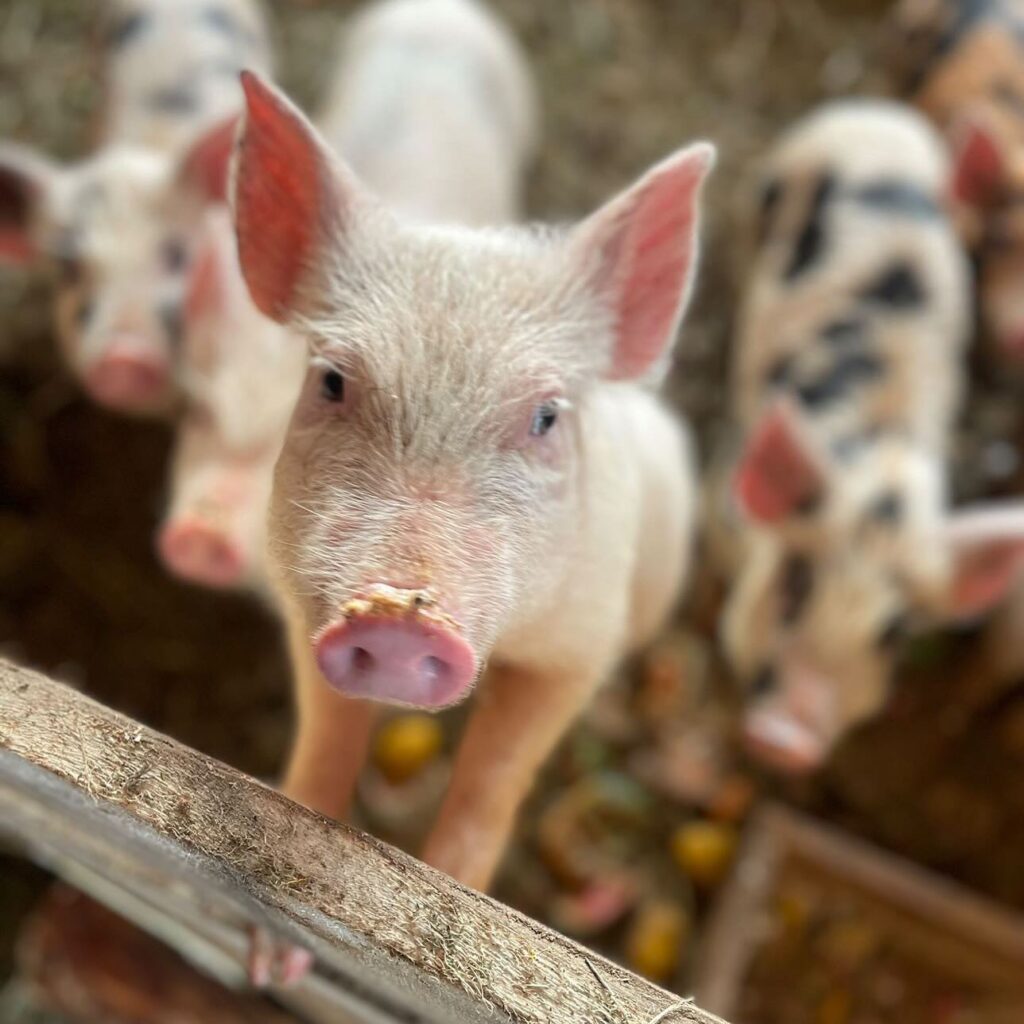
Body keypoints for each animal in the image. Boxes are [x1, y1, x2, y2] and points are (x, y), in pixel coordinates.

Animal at [227, 70, 711, 892]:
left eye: (546, 417)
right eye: (331, 380)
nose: (399, 619)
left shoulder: (581, 637)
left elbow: (497, 772)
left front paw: (456, 884)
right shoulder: (300, 596)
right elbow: (328, 730)